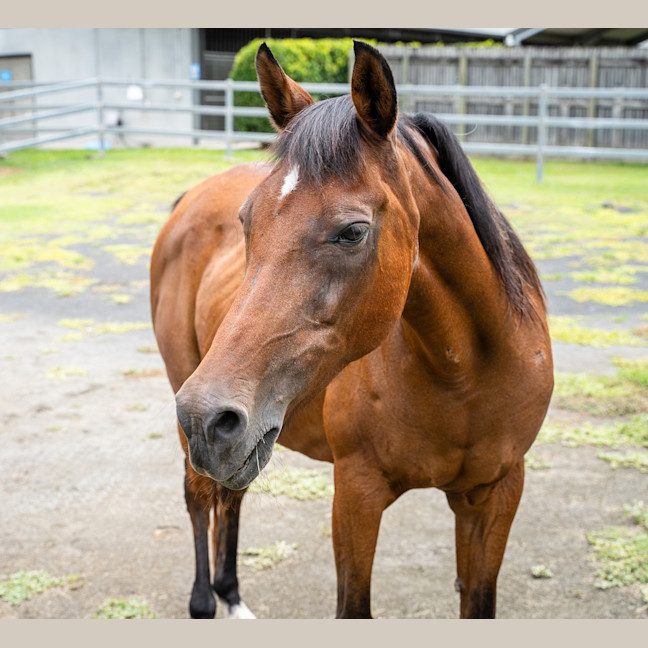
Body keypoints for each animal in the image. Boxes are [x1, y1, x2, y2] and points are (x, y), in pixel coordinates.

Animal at [150, 41, 554, 619]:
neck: (464, 378)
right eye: (247, 222)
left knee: (232, 495)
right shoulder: (357, 494)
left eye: (352, 232)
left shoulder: (496, 495)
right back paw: (207, 600)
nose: (207, 417)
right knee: (198, 497)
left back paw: (233, 596)